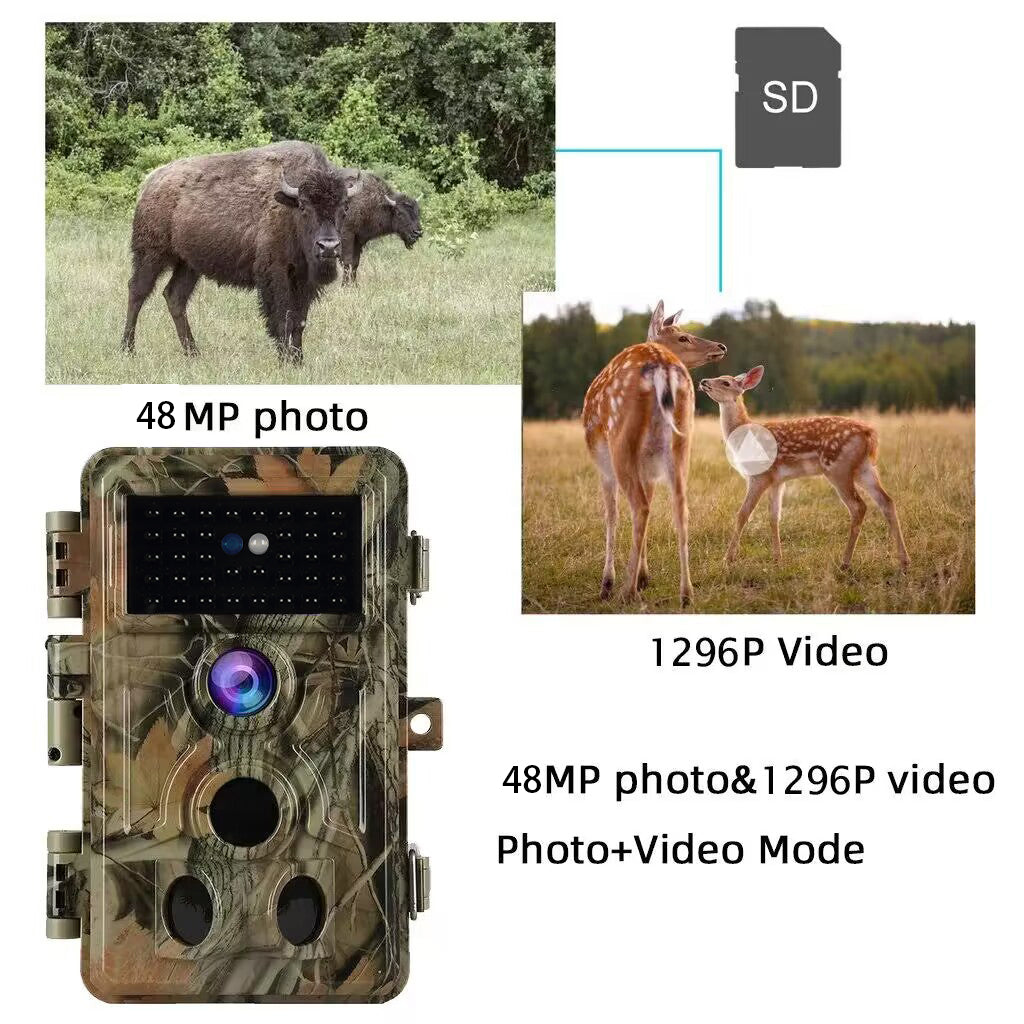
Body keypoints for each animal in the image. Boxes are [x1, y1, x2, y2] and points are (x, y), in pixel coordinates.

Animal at [583, 300, 728, 607]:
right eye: (683, 337)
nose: (721, 346)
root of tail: (664, 368)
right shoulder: (648, 466)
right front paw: (644, 576)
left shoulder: (603, 463)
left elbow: (611, 513)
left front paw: (609, 583)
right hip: (682, 439)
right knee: (680, 506)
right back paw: (685, 594)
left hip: (620, 440)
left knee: (640, 507)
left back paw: (625, 591)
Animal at [698, 366, 910, 570]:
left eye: (725, 382)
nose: (703, 381)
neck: (743, 434)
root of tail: (870, 433)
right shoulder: (777, 480)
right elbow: (774, 517)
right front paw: (778, 559)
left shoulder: (759, 475)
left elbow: (742, 514)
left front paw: (727, 559)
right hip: (864, 468)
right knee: (887, 501)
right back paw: (904, 561)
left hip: (838, 467)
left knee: (859, 507)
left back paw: (845, 562)